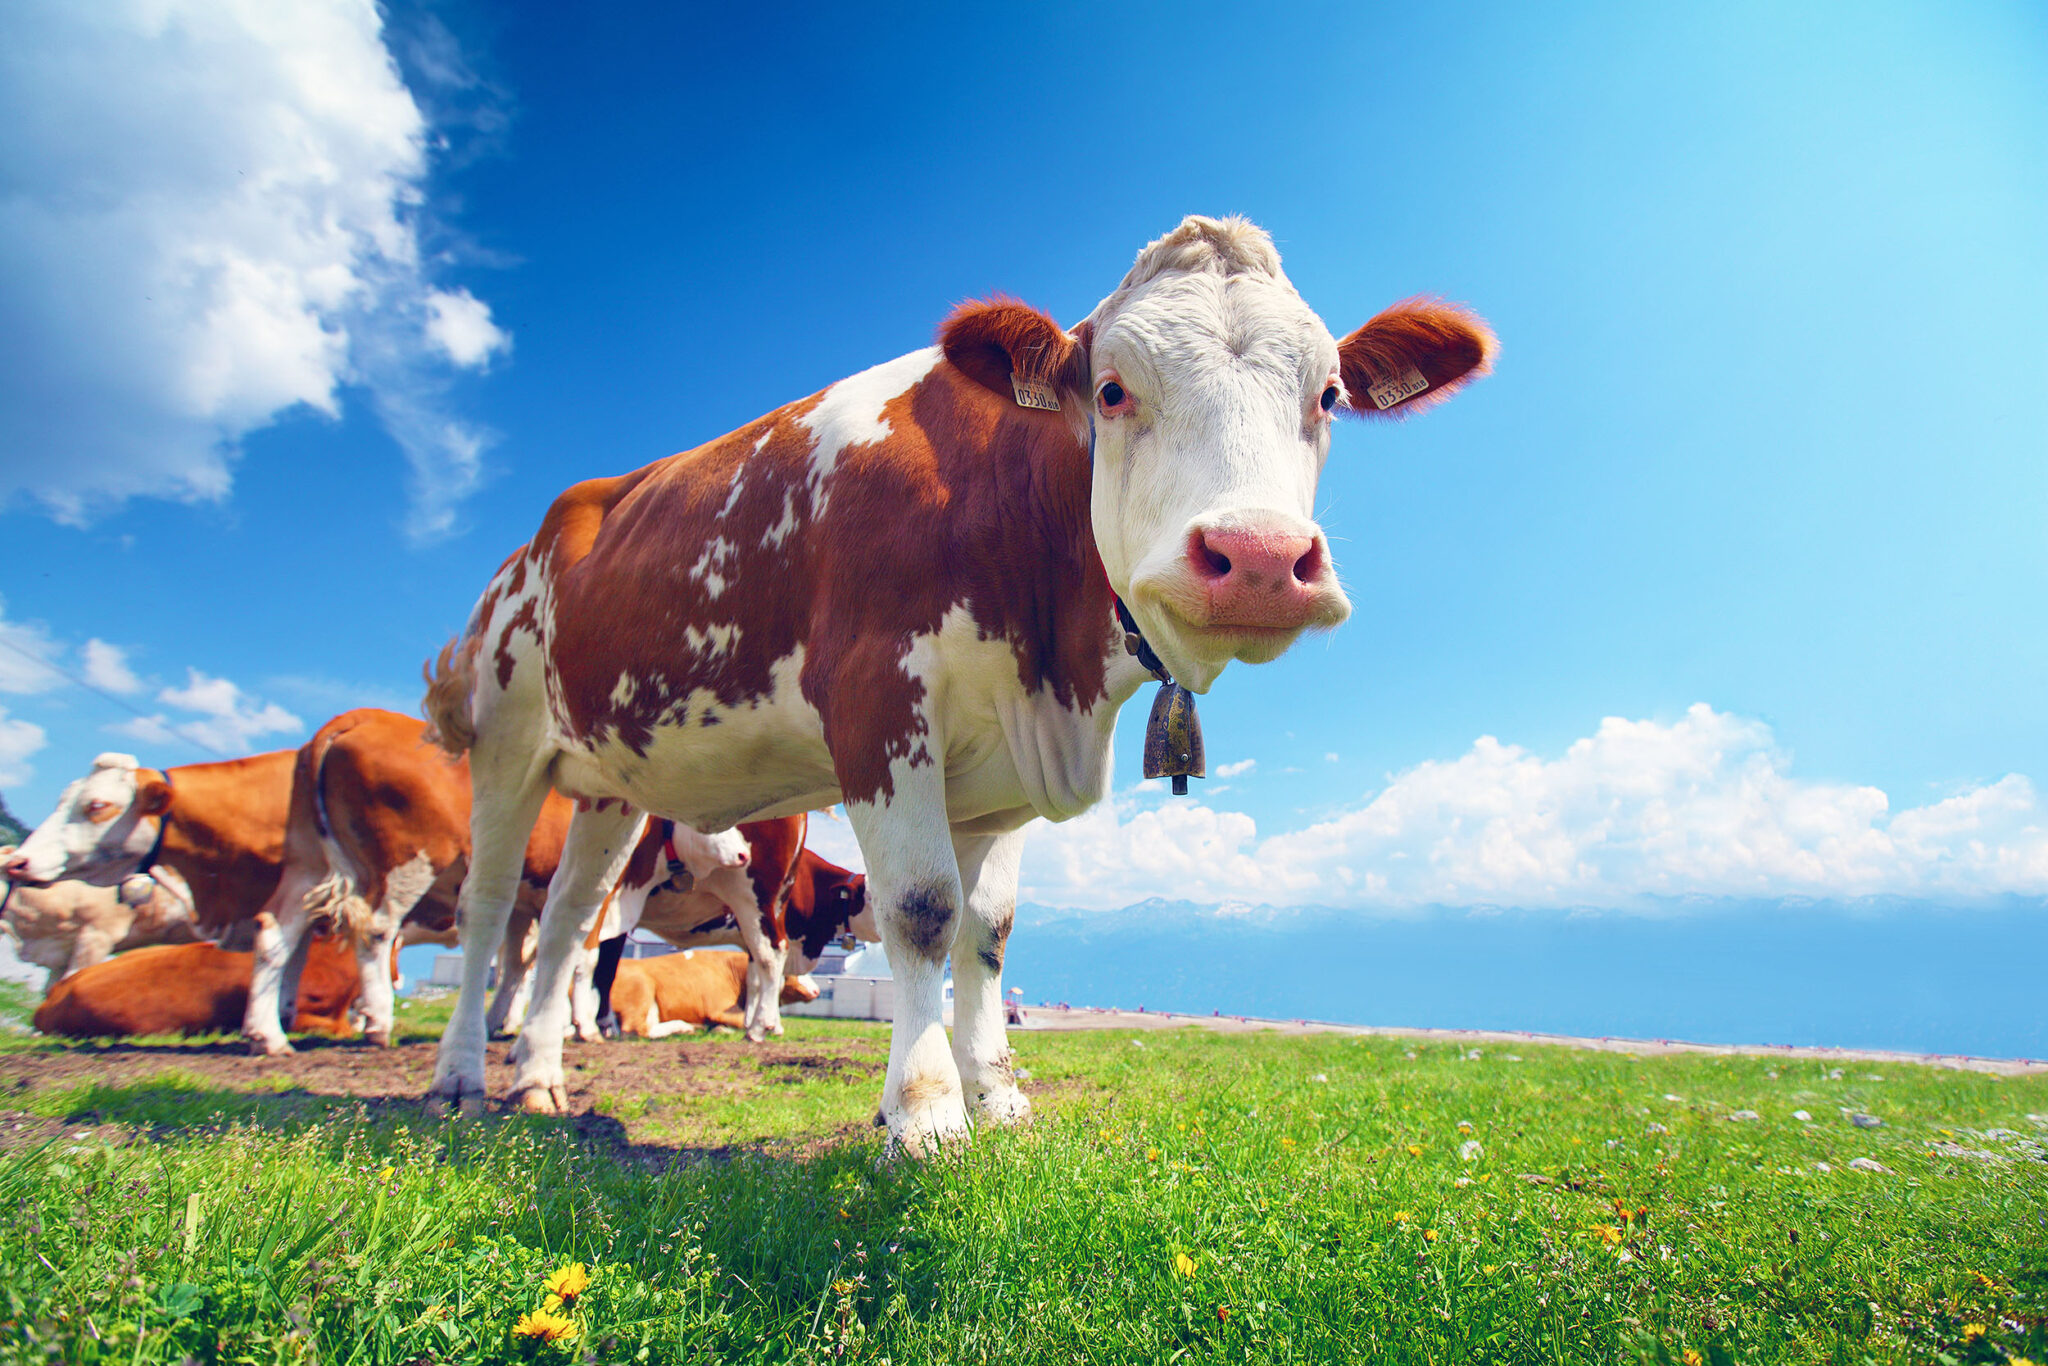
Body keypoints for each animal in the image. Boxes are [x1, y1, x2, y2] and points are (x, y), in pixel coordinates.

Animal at [609, 948, 820, 1038]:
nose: (817, 990)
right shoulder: (719, 1009)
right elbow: (744, 1022)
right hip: (641, 990)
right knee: (638, 1029)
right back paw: (684, 1027)